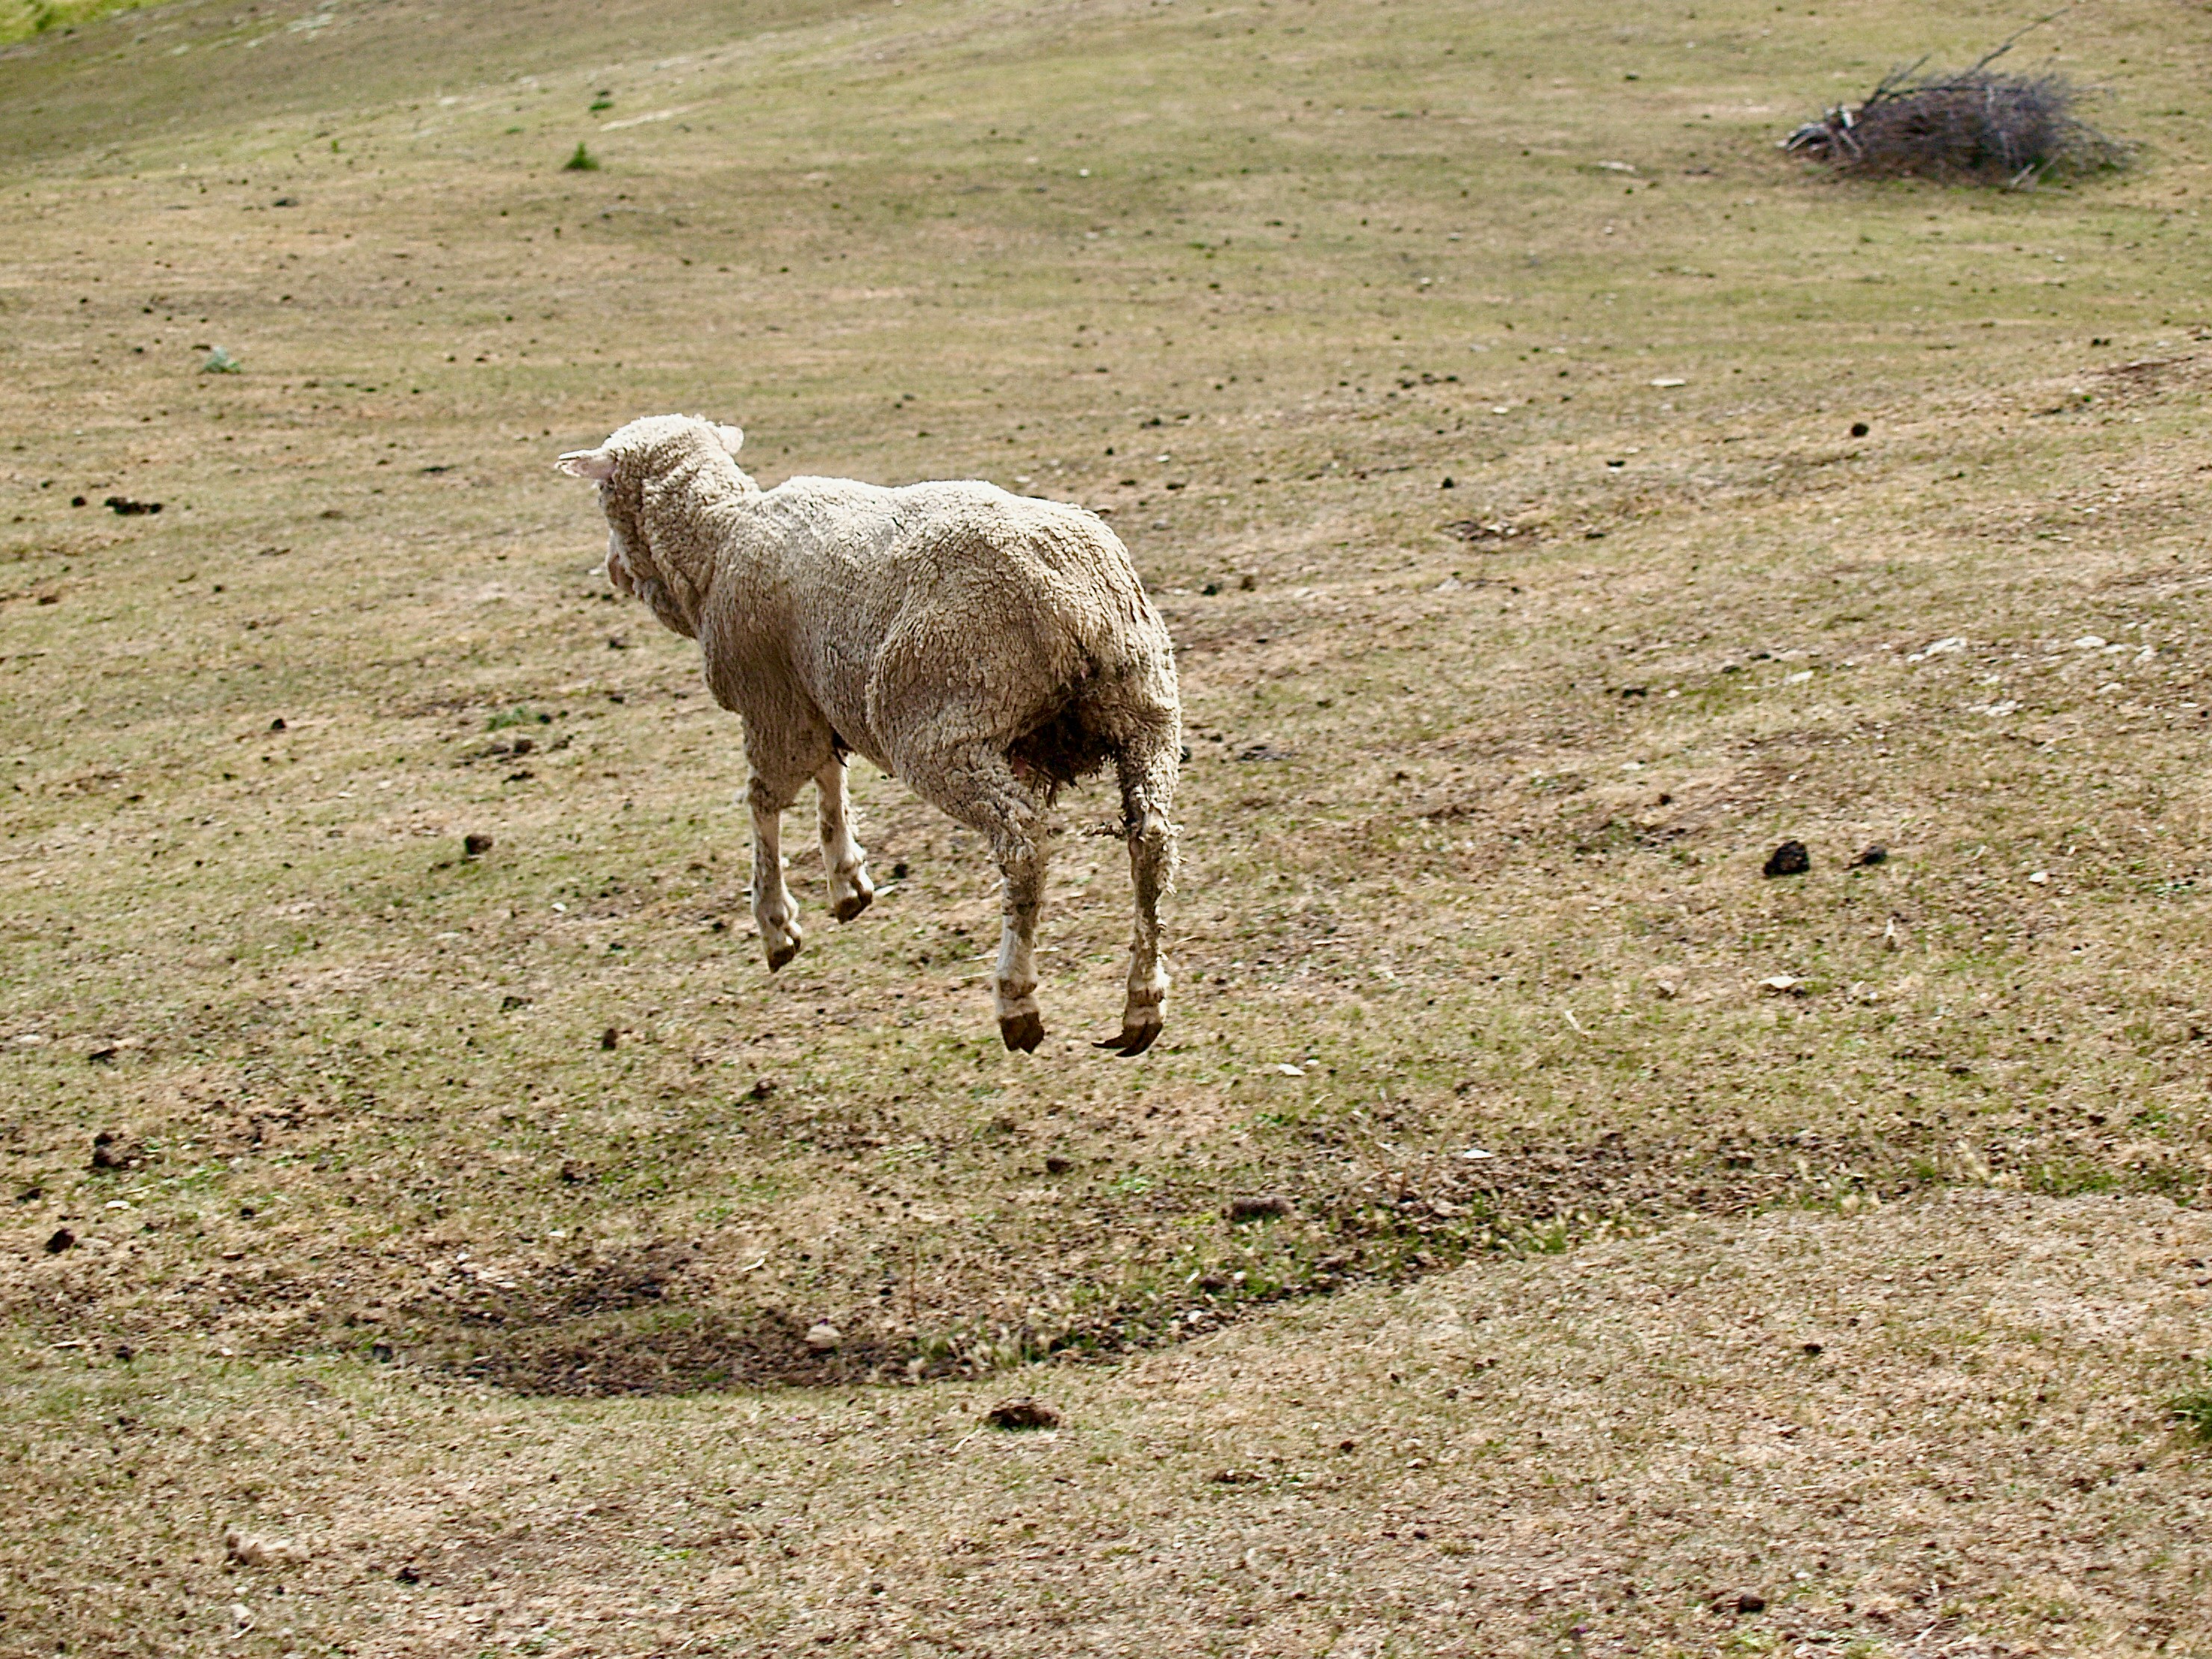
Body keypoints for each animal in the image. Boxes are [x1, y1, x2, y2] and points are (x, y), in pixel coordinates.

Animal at [556, 414, 1182, 1055]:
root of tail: (1071, 603)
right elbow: (831, 781)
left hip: (943, 731)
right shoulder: (818, 698)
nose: (612, 570)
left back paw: (1017, 998)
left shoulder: (774, 708)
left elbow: (763, 804)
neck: (720, 540)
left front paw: (777, 923)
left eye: (605, 492)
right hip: (1146, 710)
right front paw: (847, 879)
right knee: (1152, 843)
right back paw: (1143, 1000)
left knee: (1025, 849)